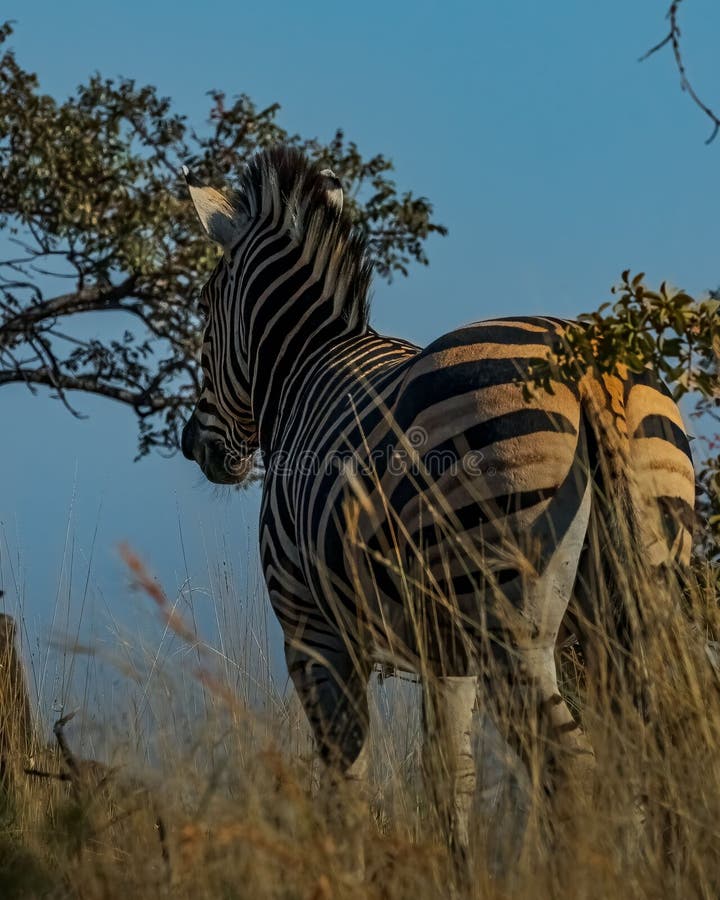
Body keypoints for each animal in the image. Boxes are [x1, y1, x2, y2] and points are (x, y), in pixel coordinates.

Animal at [180, 146, 695, 861]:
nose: (191, 444)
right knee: (664, 749)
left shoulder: (312, 629)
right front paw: (458, 870)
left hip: (513, 618)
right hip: (638, 593)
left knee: (572, 770)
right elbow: (449, 776)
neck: (304, 365)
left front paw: (351, 865)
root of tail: (585, 363)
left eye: (204, 308)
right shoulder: (444, 652)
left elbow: (345, 776)